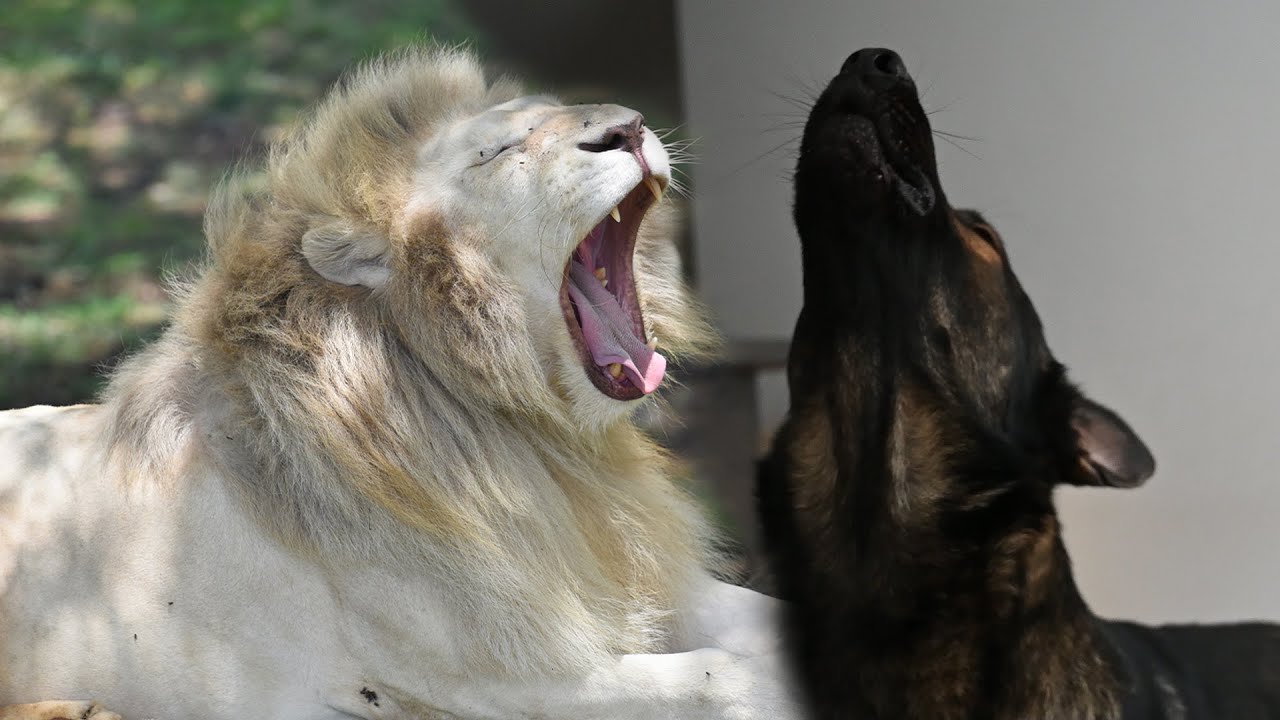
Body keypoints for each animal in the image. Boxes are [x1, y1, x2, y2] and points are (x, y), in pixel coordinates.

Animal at [0, 48, 798, 719]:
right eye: (497, 151)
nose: (629, 129)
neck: (532, 442)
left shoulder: (651, 583)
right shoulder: (504, 679)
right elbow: (732, 681)